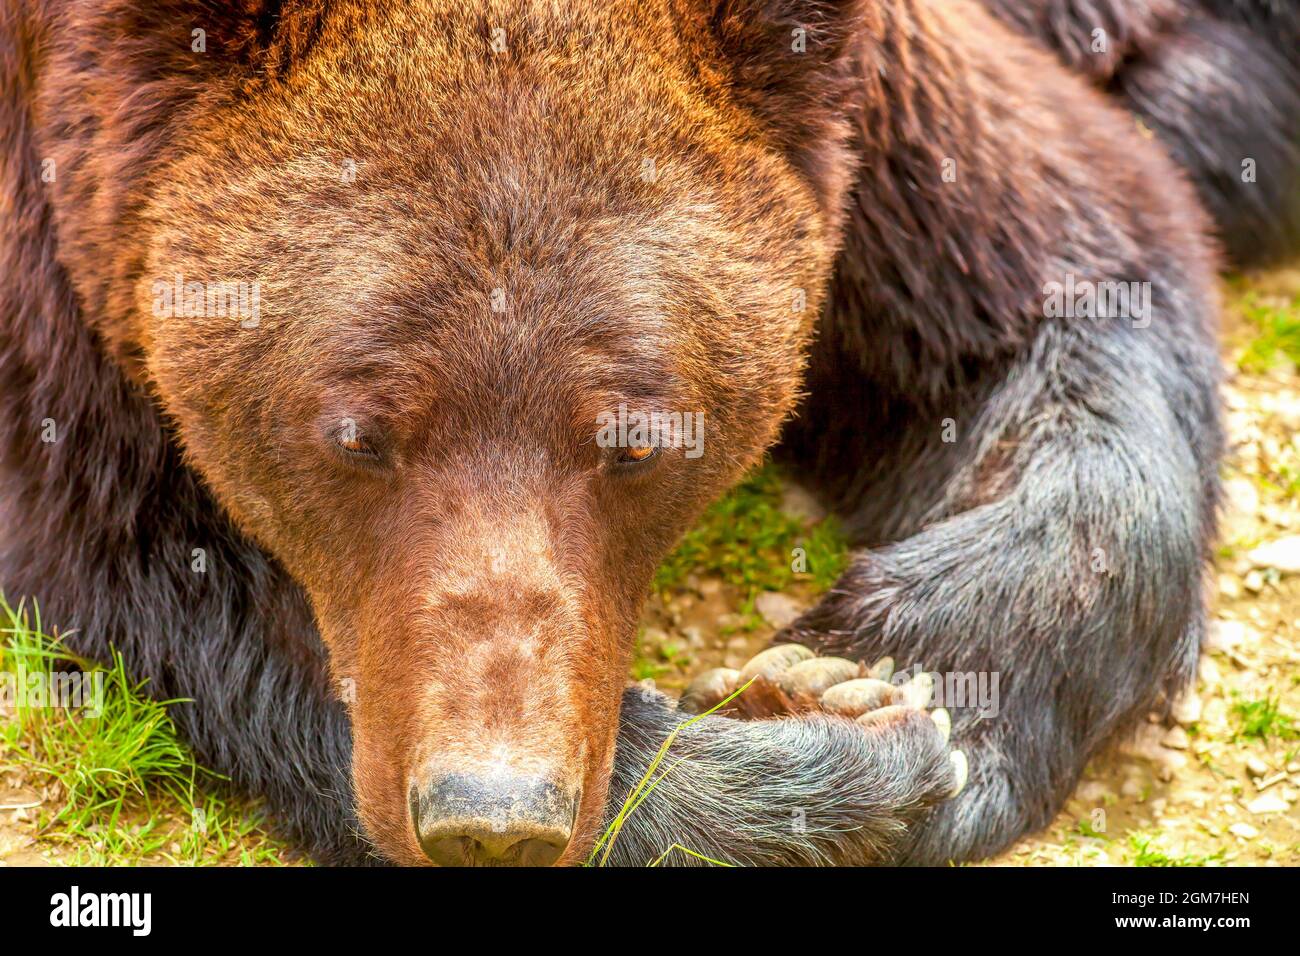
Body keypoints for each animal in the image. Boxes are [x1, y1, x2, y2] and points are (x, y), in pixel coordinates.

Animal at [0, 0, 1224, 866]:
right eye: (355, 435)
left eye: (635, 438)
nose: (490, 815)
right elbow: (164, 558)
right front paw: (822, 757)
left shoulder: (886, 135)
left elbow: (1061, 299)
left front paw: (884, 677)